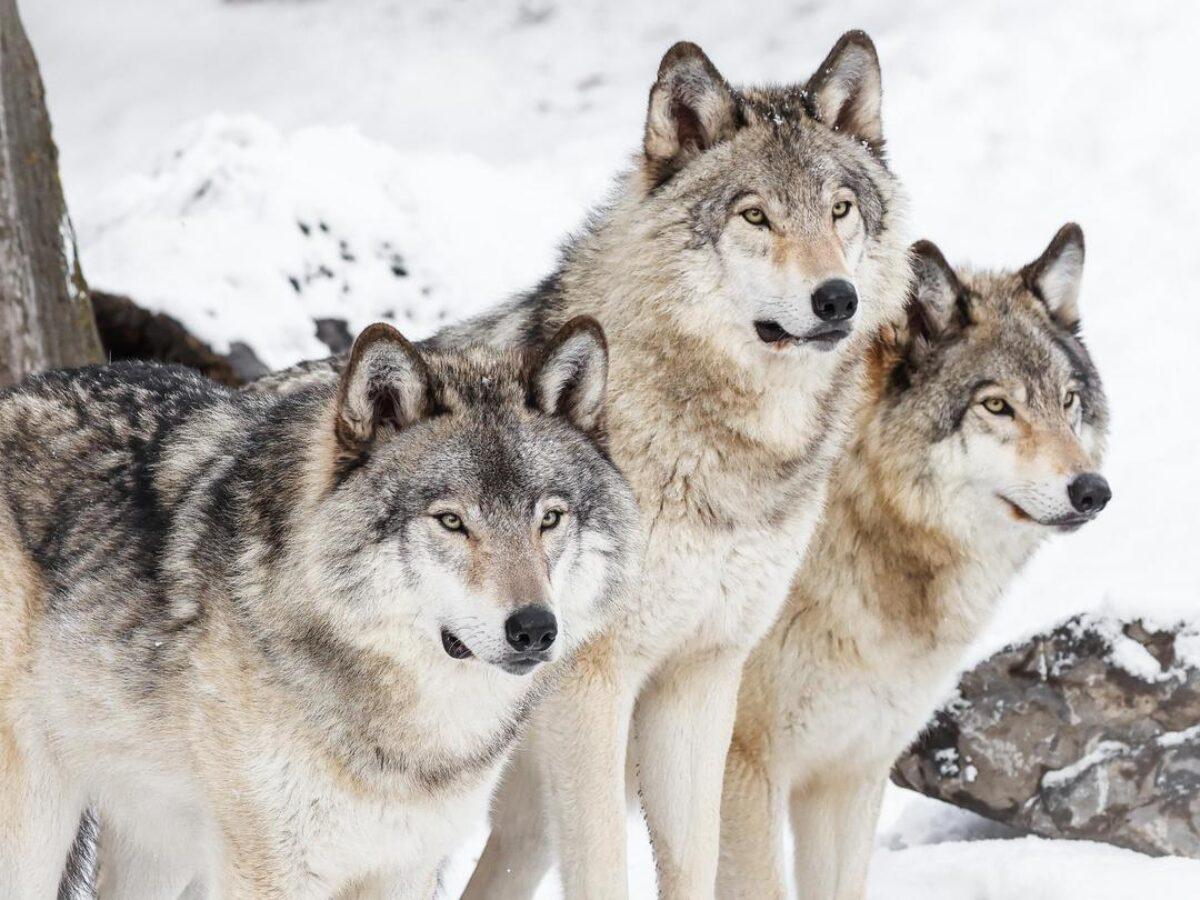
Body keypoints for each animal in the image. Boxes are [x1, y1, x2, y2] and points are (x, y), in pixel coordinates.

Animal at [0, 320, 640, 898]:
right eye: (451, 521)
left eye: (549, 518)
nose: (535, 628)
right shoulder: (272, 871)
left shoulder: (406, 867)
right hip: (38, 828)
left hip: (159, 846)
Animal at [255, 32, 910, 897]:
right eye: (755, 216)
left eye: (840, 210)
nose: (837, 298)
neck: (725, 459)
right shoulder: (592, 679)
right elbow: (603, 864)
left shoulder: (702, 674)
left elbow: (693, 858)